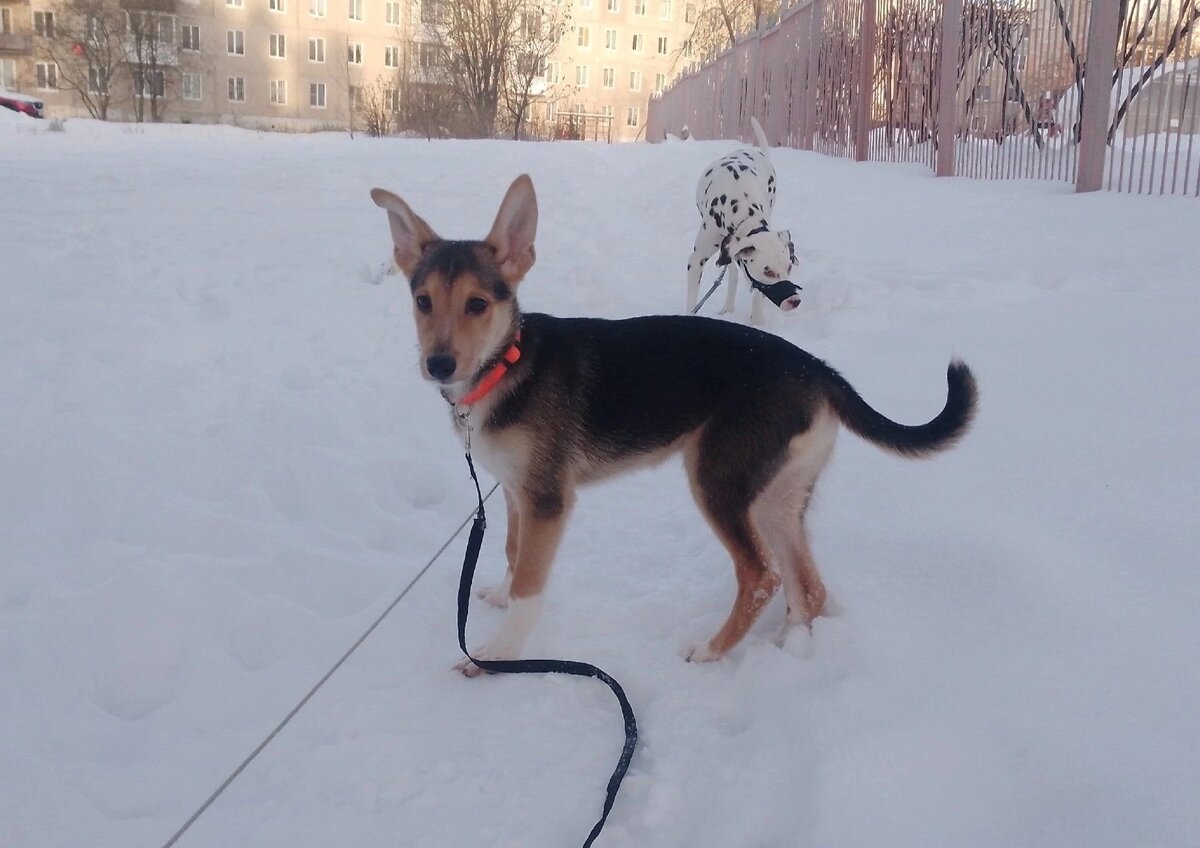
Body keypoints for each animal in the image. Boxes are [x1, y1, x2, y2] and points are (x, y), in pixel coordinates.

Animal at [367, 176, 974, 681]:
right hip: (778, 494)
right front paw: (496, 593)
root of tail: (818, 370)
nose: (438, 365)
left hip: (718, 478)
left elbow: (530, 588)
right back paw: (790, 650)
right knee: (808, 587)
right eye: (422, 302)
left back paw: (711, 651)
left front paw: (496, 655)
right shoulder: (518, 493)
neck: (507, 364)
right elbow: (515, 557)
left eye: (477, 304)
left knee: (762, 576)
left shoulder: (547, 500)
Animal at [691, 116, 801, 321]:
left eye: (789, 267)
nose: (794, 301)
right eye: (768, 270)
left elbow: (758, 293)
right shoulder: (696, 260)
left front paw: (757, 321)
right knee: (733, 274)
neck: (740, 205)